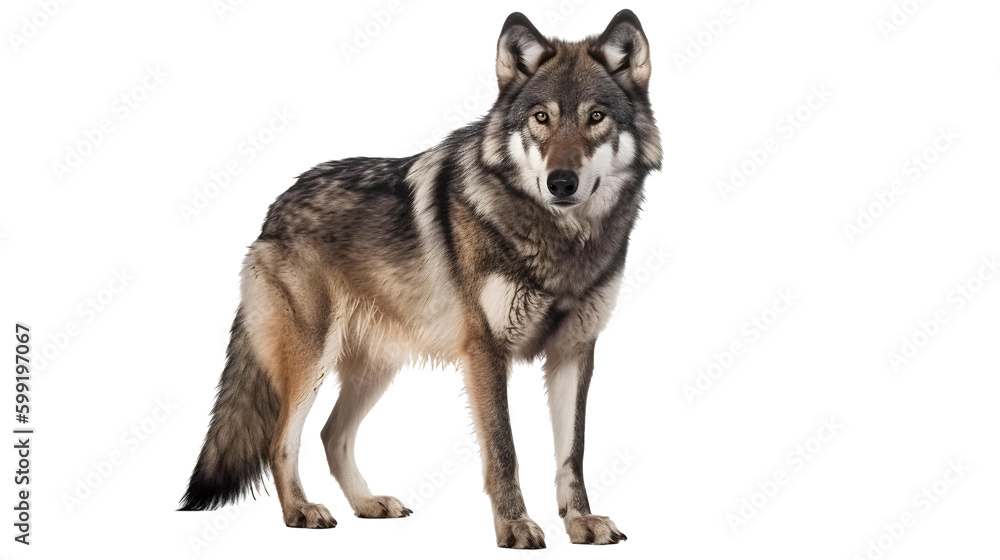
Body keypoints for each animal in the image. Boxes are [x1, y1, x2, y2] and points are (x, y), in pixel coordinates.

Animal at [180, 9, 662, 549]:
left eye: (596, 117)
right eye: (542, 118)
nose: (561, 182)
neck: (562, 243)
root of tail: (274, 210)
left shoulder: (574, 352)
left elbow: (571, 454)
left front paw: (580, 522)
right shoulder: (485, 352)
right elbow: (505, 451)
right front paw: (515, 526)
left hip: (376, 368)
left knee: (331, 435)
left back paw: (368, 504)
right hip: (310, 361)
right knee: (281, 439)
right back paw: (302, 511)